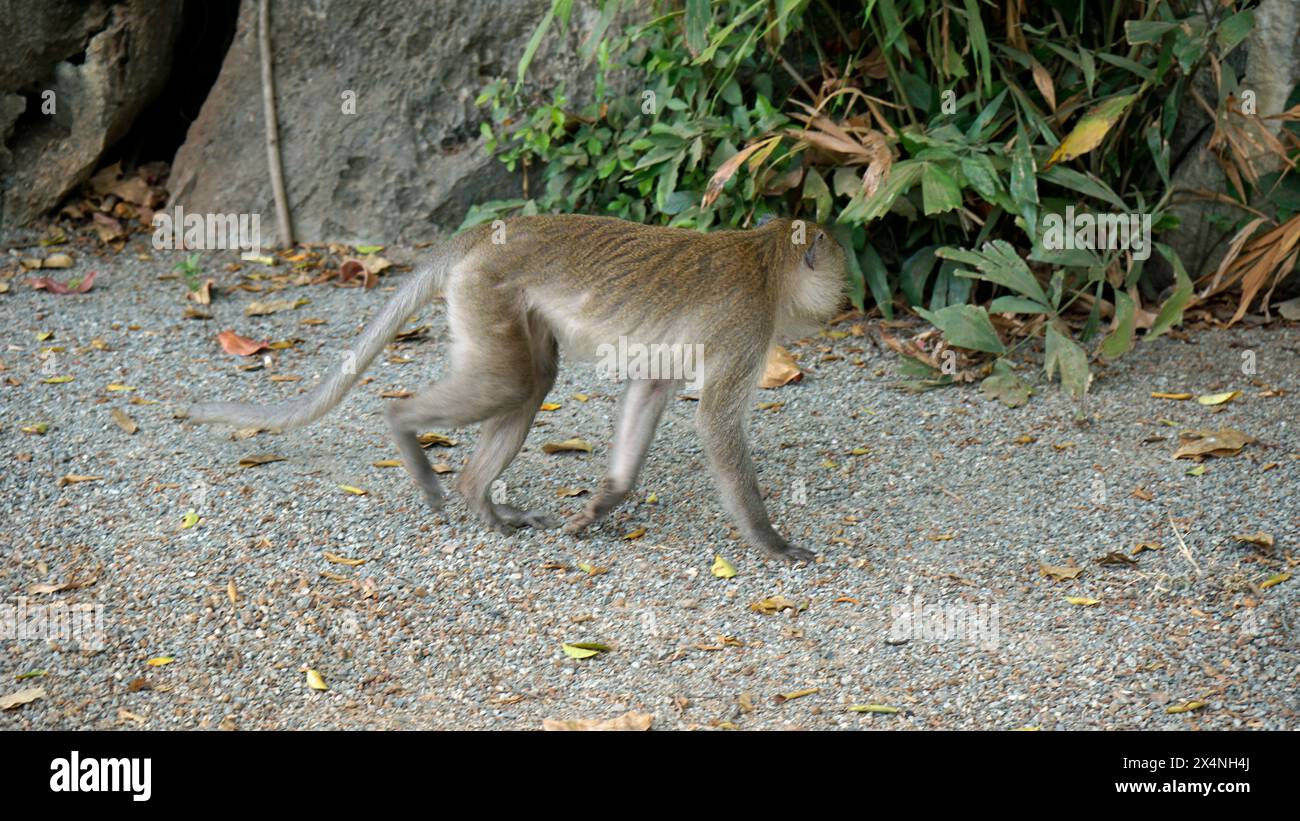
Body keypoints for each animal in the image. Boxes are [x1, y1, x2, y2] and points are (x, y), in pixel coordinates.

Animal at [187, 215, 847, 562]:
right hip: (487, 290)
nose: (846, 298)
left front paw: (603, 503)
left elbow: (651, 389)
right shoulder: (746, 327)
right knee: (513, 382)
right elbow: (715, 420)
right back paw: (406, 429)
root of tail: (483, 234)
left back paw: (480, 498)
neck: (764, 259)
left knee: (530, 383)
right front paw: (772, 541)